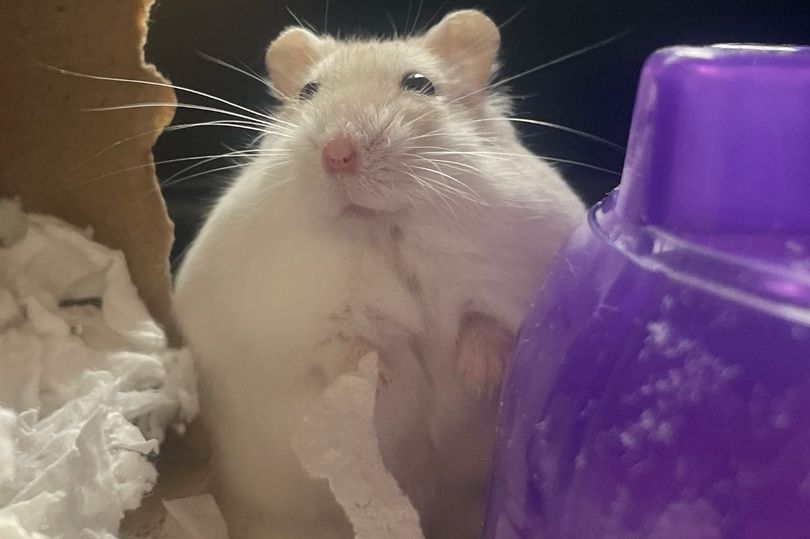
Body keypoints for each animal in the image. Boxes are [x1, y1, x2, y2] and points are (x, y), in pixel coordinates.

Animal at [174, 9, 585, 539]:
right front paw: (380, 373)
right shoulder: (295, 320)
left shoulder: (510, 282)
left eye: (419, 83)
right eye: (308, 91)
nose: (338, 154)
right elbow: (342, 343)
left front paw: (476, 373)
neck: (384, 228)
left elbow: (487, 322)